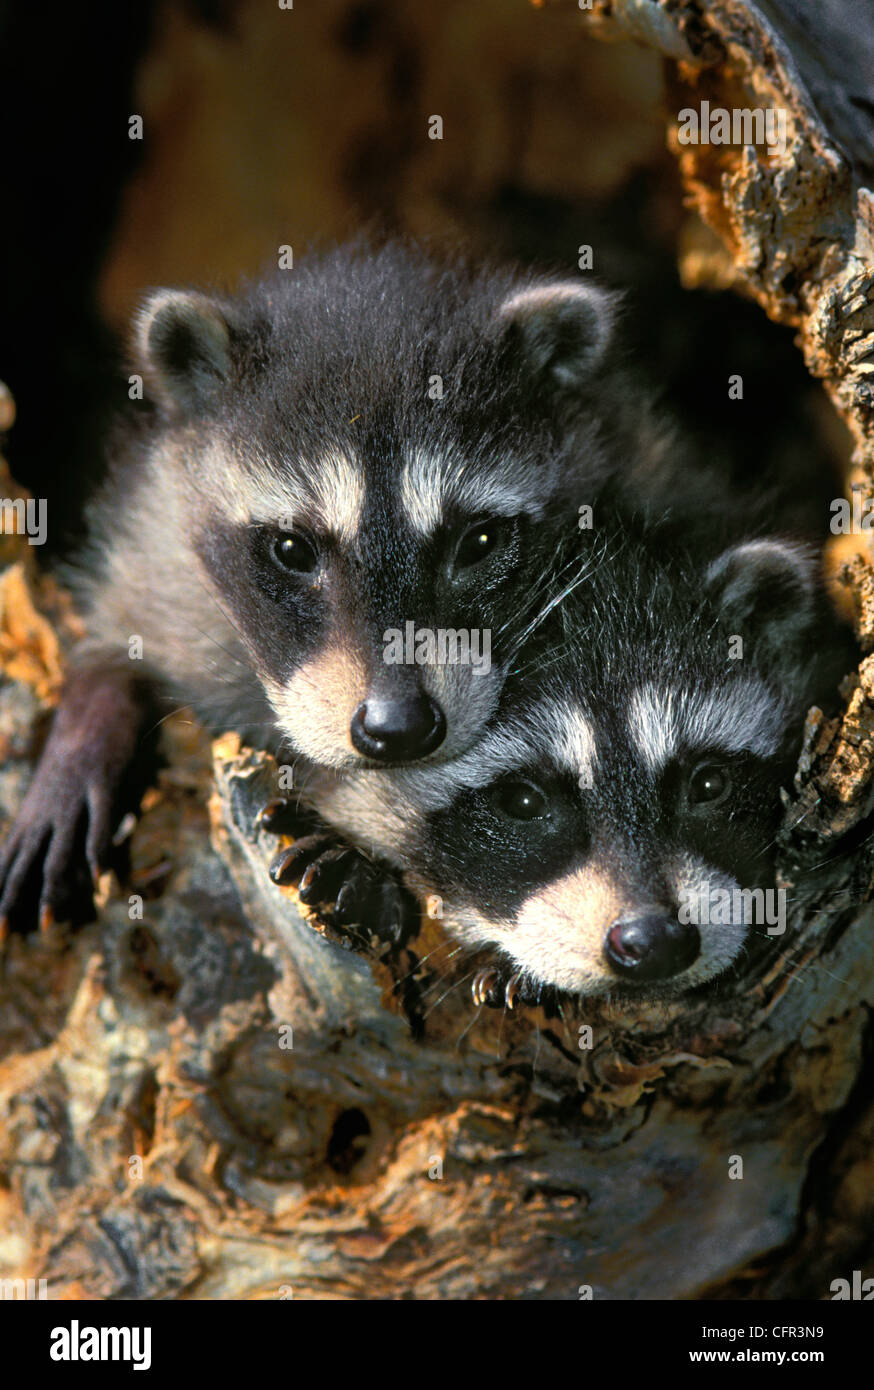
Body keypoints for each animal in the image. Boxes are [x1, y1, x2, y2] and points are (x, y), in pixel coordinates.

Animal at [0, 239, 690, 933]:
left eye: (479, 542)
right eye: (292, 550)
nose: (398, 728)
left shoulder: (650, 465)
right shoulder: (159, 542)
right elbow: (123, 625)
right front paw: (89, 723)